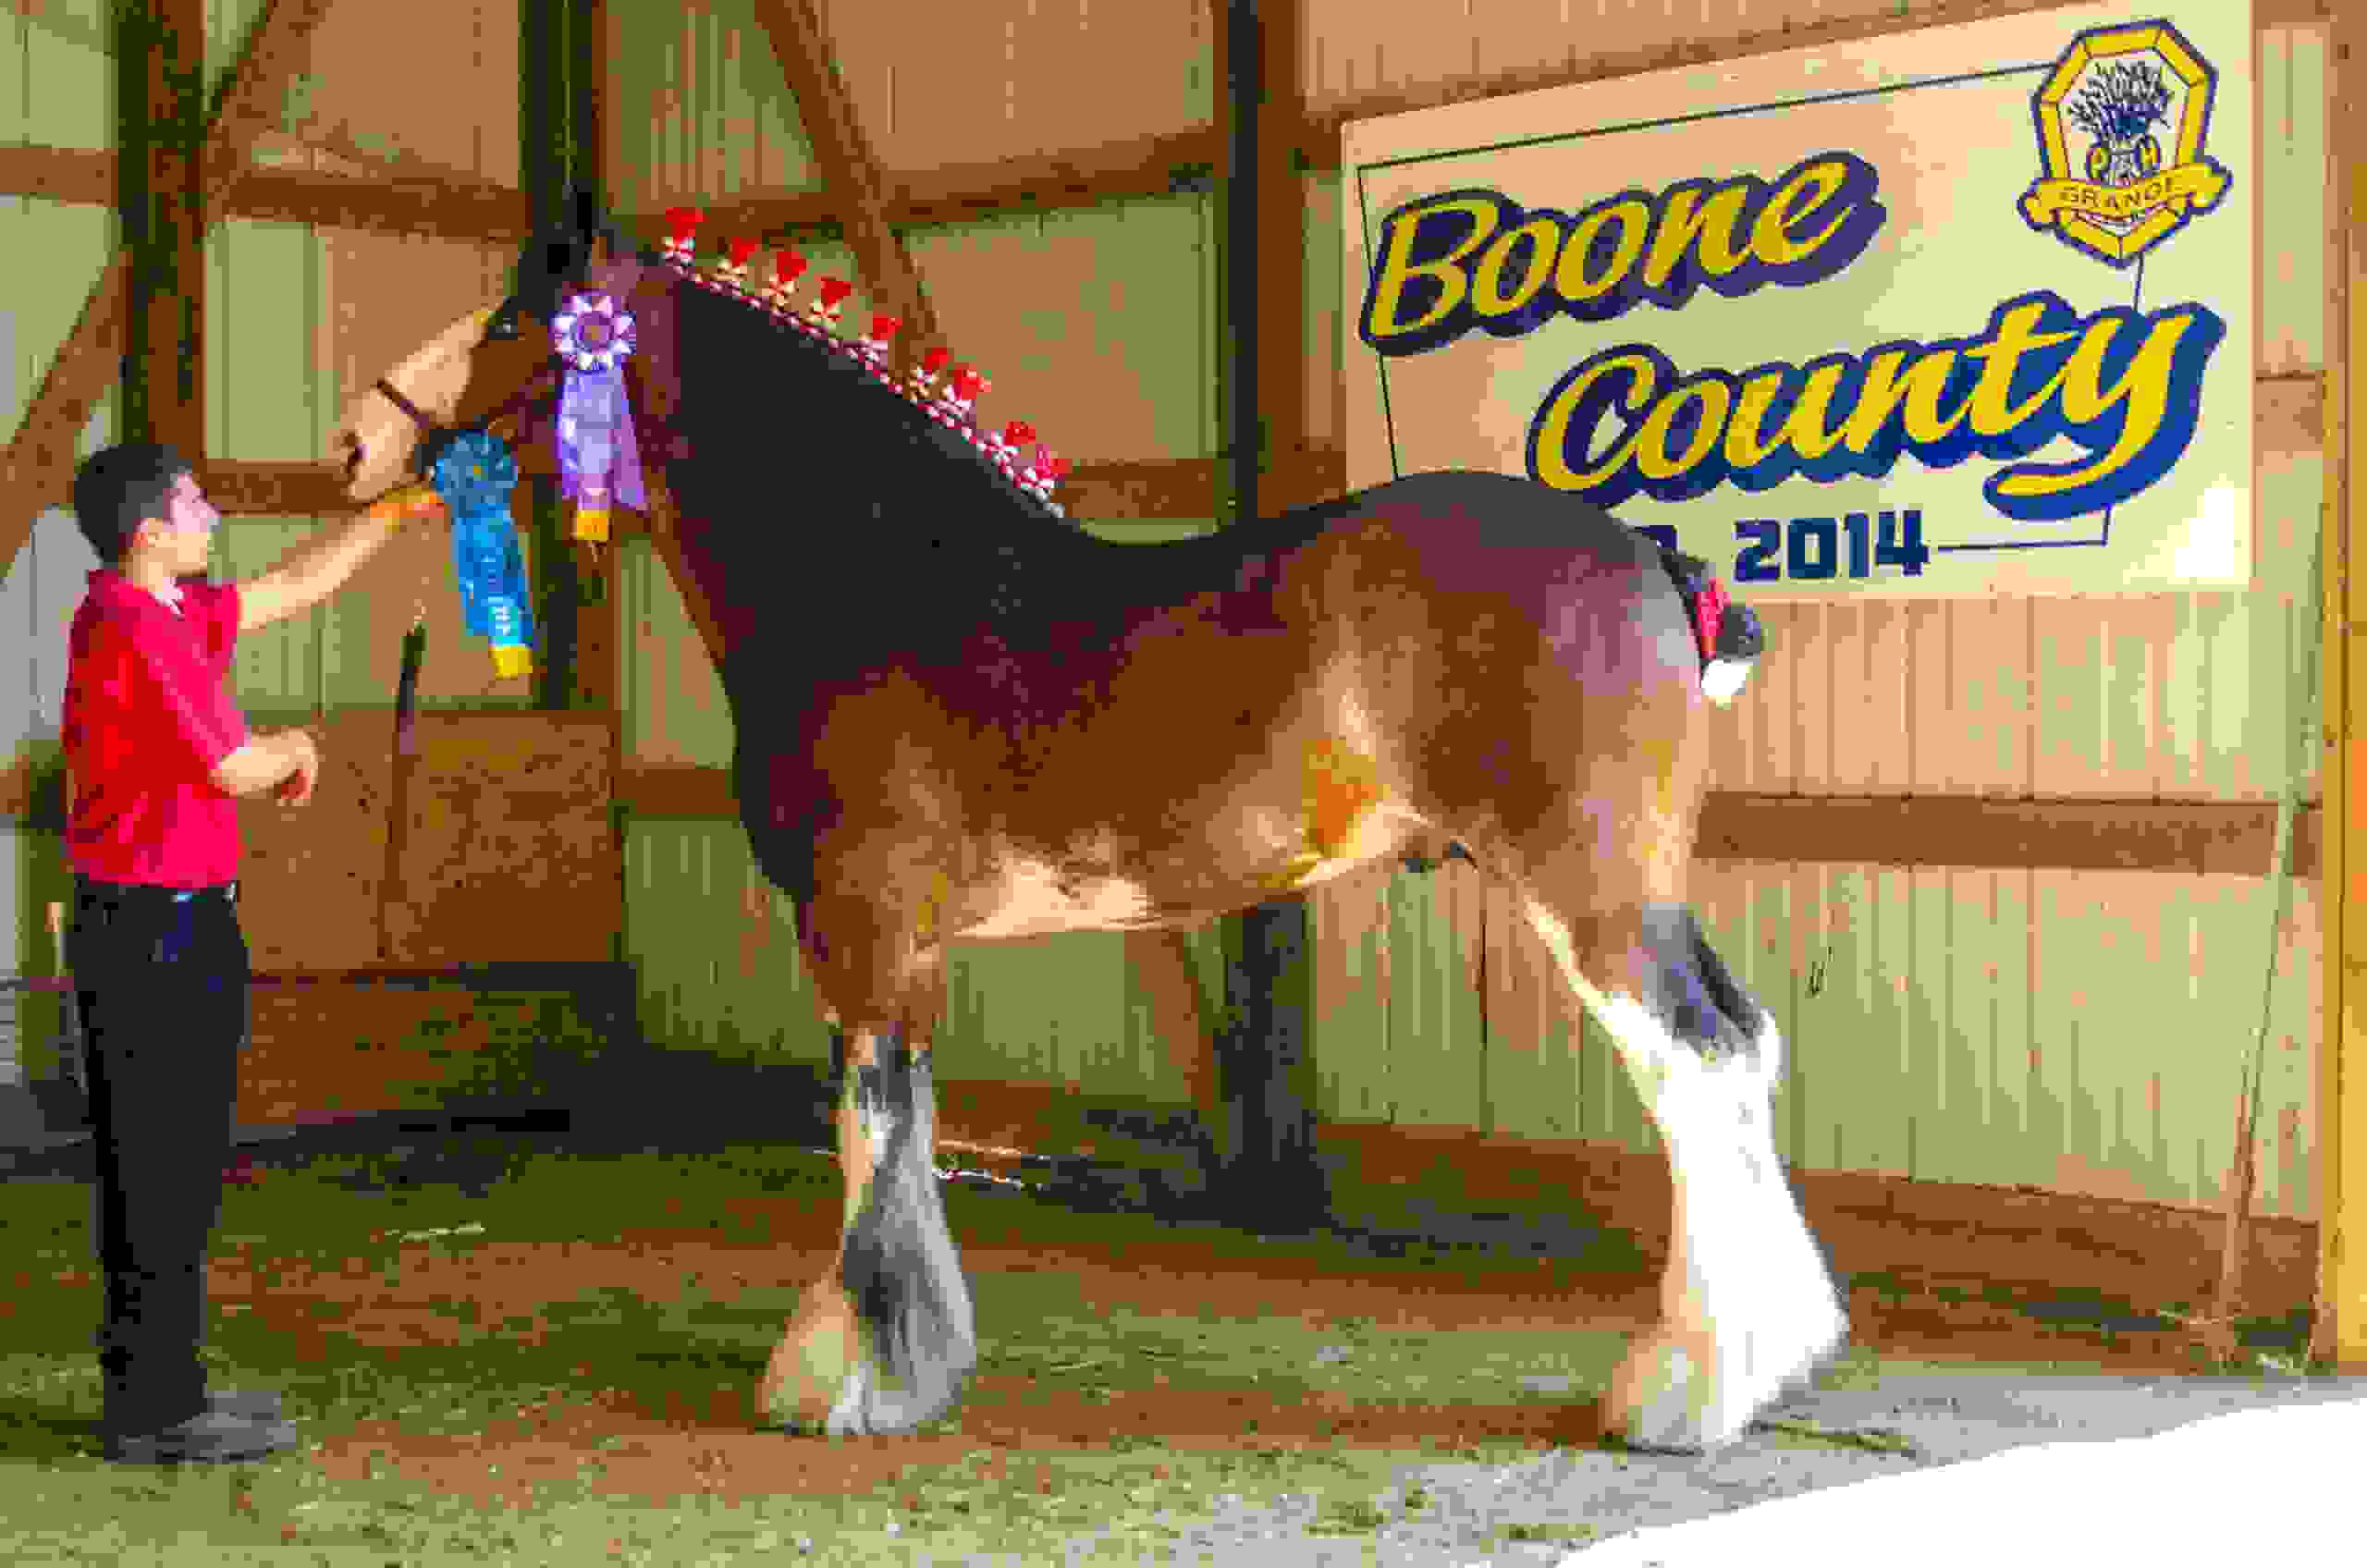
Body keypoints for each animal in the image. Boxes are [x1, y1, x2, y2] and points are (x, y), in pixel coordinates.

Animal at [327, 197, 1845, 1451]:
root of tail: (1648, 555)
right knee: (1742, 1048)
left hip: (1593, 898)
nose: (353, 439)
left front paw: (852, 1380)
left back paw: (1686, 1395)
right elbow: (898, 1128)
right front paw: (897, 1367)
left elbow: (869, 1131)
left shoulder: (863, 929)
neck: (877, 568)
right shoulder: (891, 945)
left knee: (1697, 1069)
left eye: (518, 319)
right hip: (1639, 897)